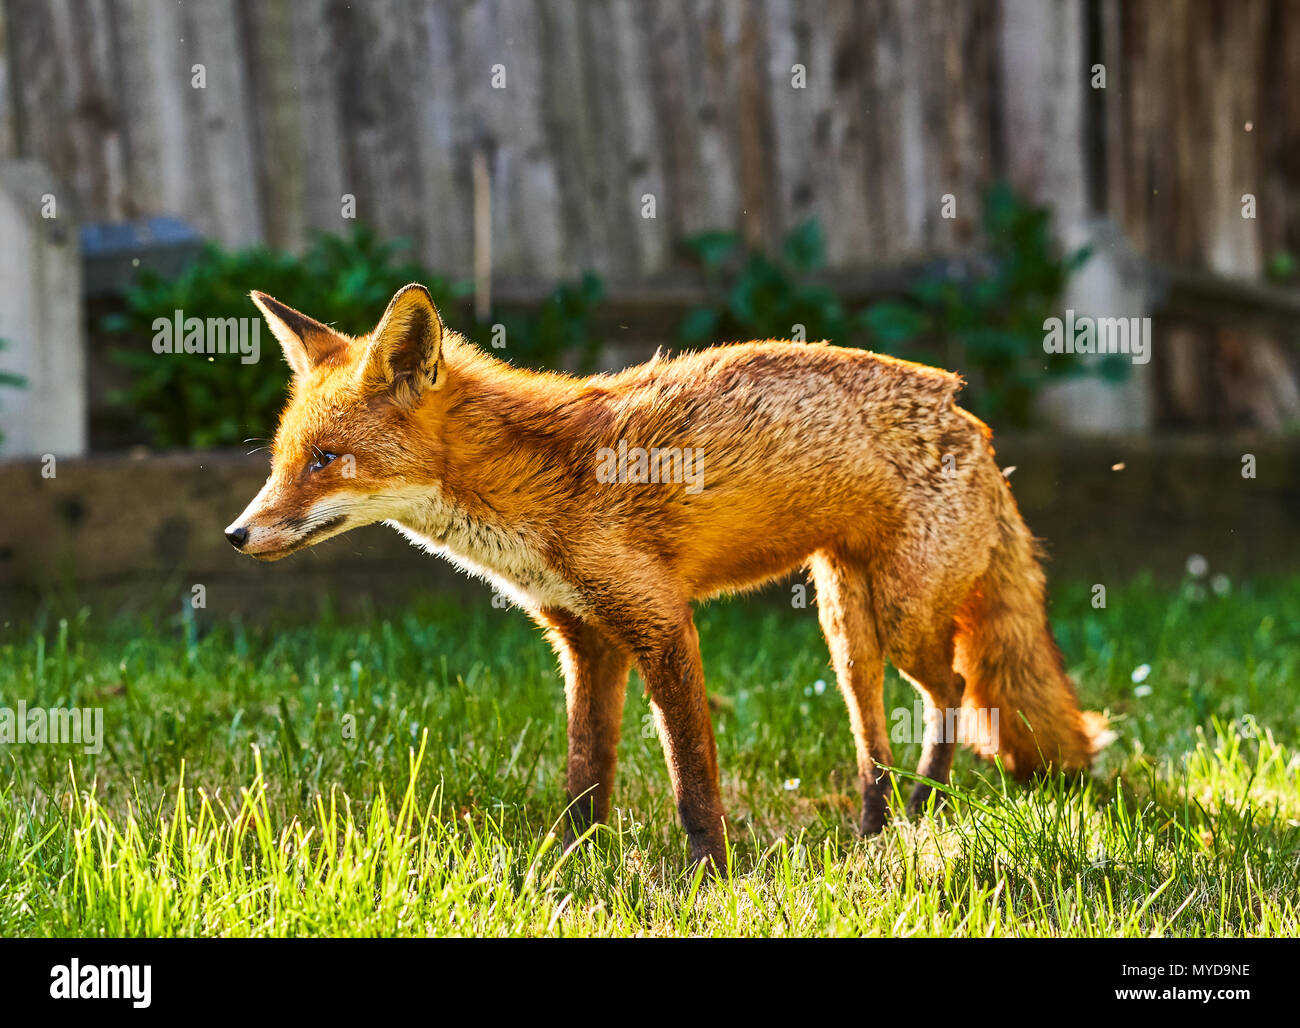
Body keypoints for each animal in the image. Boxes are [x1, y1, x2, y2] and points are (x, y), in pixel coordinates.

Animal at [227, 283, 1109, 867]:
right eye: (280, 462)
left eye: (325, 460)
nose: (236, 535)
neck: (529, 492)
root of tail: (968, 416)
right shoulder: (588, 643)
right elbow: (587, 775)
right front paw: (568, 868)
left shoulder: (660, 624)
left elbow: (692, 780)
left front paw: (709, 878)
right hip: (846, 633)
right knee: (875, 744)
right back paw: (874, 834)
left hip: (902, 620)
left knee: (954, 689)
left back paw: (925, 813)